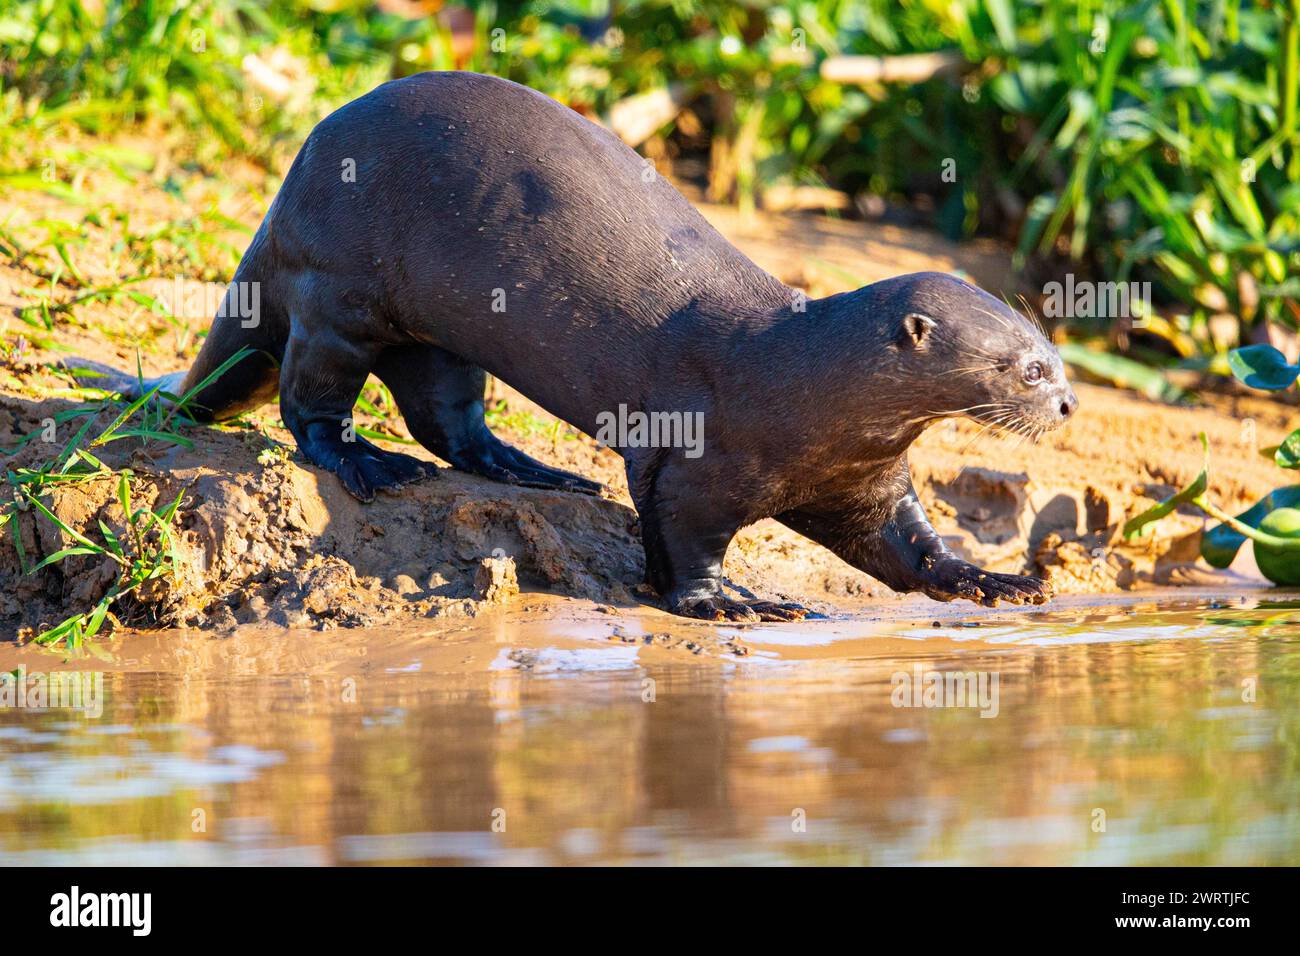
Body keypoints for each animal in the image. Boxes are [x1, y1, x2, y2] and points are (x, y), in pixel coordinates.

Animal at [70, 72, 1077, 622]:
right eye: (1025, 366)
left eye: (1053, 352)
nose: (1068, 402)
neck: (804, 384)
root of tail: (286, 191)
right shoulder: (701, 456)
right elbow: (682, 535)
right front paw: (726, 599)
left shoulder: (858, 481)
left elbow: (904, 546)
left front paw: (989, 578)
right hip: (337, 290)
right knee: (308, 400)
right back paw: (365, 462)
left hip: (439, 331)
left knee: (448, 418)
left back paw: (536, 472)